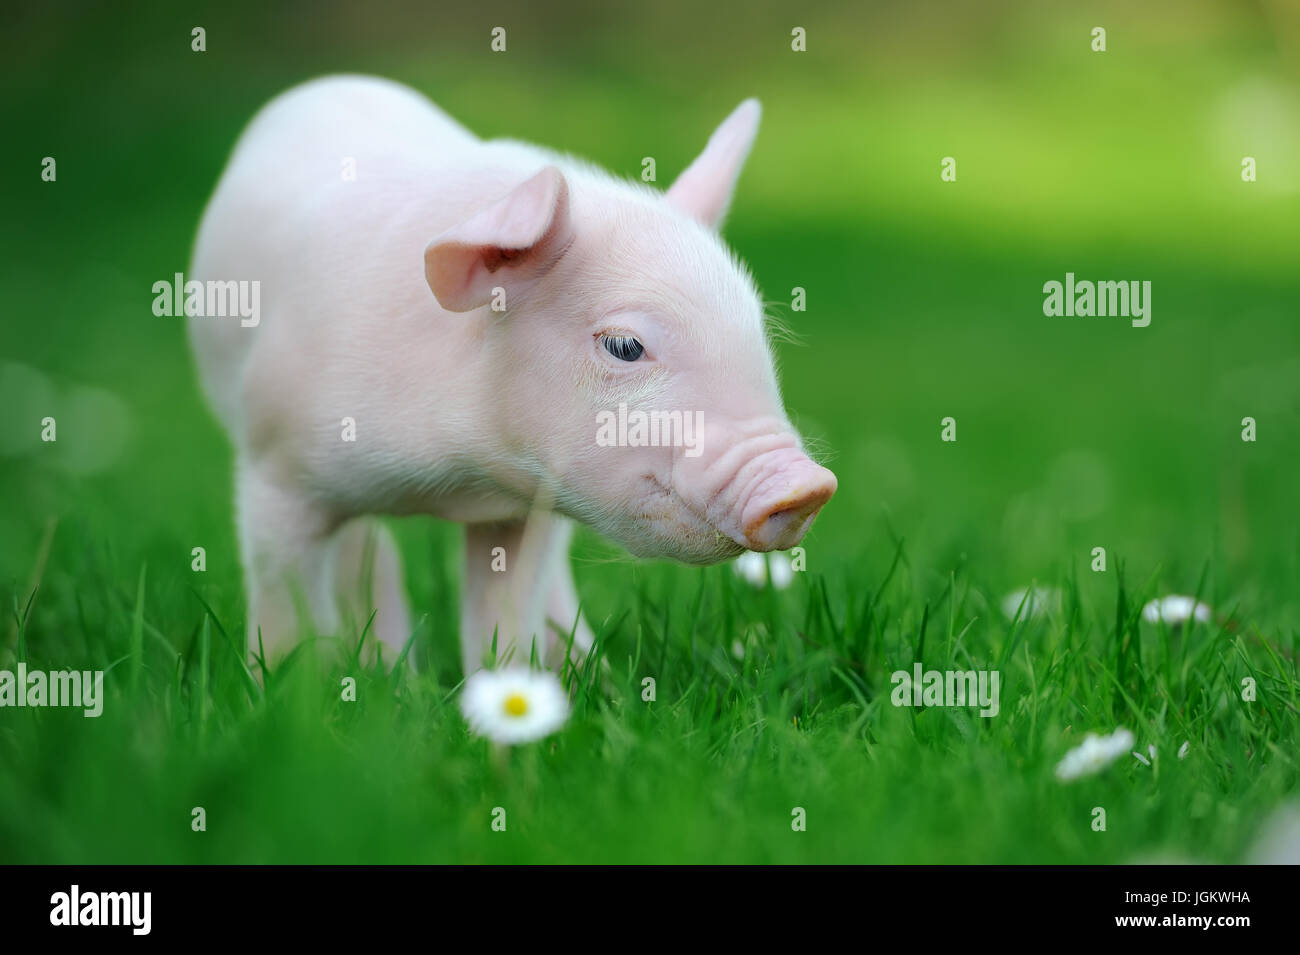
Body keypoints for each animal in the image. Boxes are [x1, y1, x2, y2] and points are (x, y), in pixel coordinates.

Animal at [187, 75, 836, 675]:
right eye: (625, 346)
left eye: (756, 335)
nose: (807, 486)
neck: (452, 478)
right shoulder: (273, 464)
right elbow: (285, 601)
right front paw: (291, 689)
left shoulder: (526, 507)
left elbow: (504, 611)